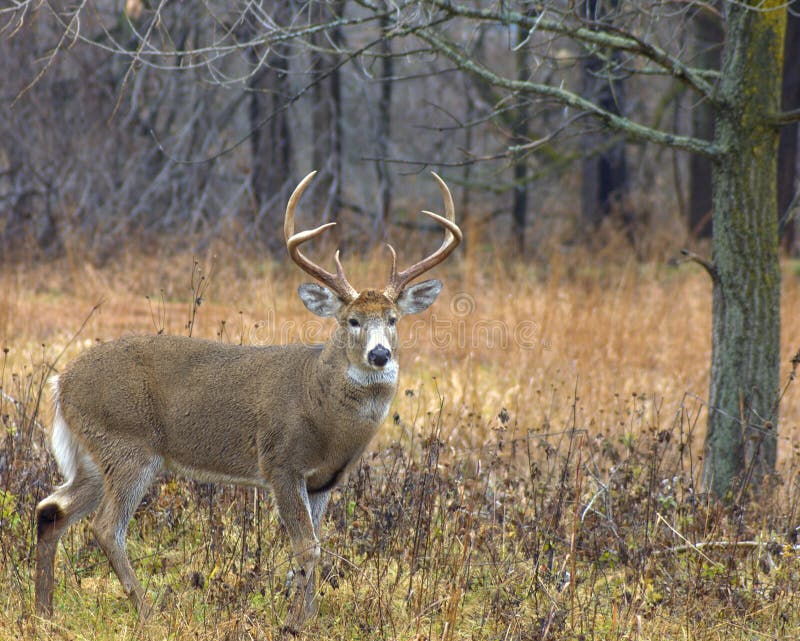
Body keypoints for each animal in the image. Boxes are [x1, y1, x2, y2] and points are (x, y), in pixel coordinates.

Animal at [34, 171, 461, 632]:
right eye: (352, 320)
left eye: (393, 319)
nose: (379, 354)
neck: (322, 409)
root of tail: (61, 382)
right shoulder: (280, 462)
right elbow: (307, 546)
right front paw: (293, 623)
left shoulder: (323, 480)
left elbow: (314, 545)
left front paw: (306, 615)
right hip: (127, 444)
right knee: (105, 526)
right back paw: (147, 611)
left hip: (95, 456)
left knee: (50, 509)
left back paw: (44, 610)